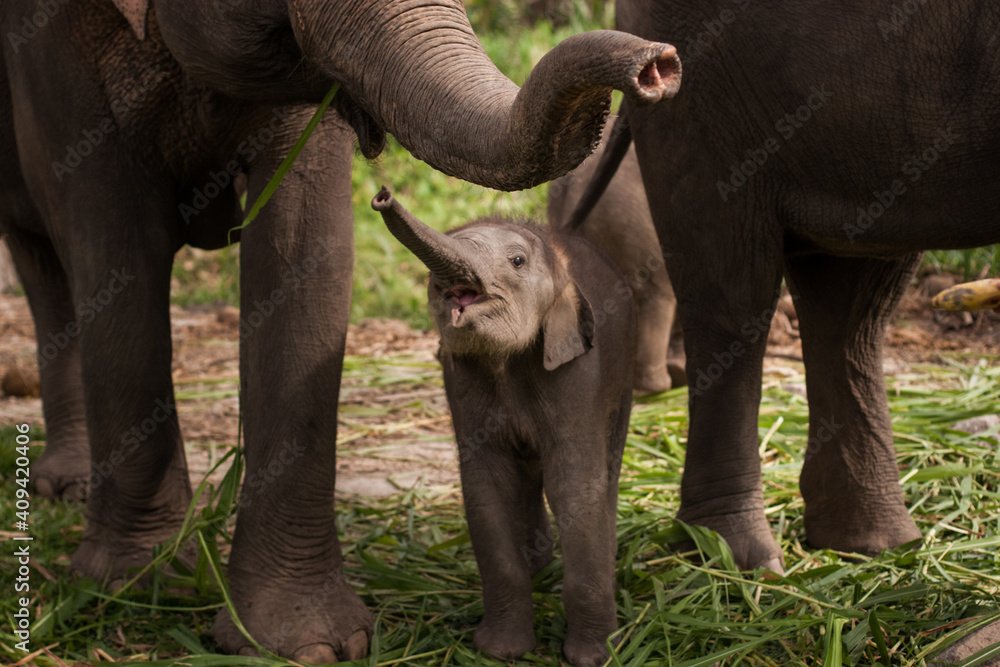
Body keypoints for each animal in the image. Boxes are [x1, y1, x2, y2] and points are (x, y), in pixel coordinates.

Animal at [373, 186, 635, 667]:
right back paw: (537, 565)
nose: (381, 195)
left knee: (606, 464)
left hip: (624, 373)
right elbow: (488, 486)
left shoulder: (578, 372)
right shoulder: (459, 379)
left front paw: (595, 655)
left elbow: (575, 484)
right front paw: (499, 651)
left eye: (516, 261)